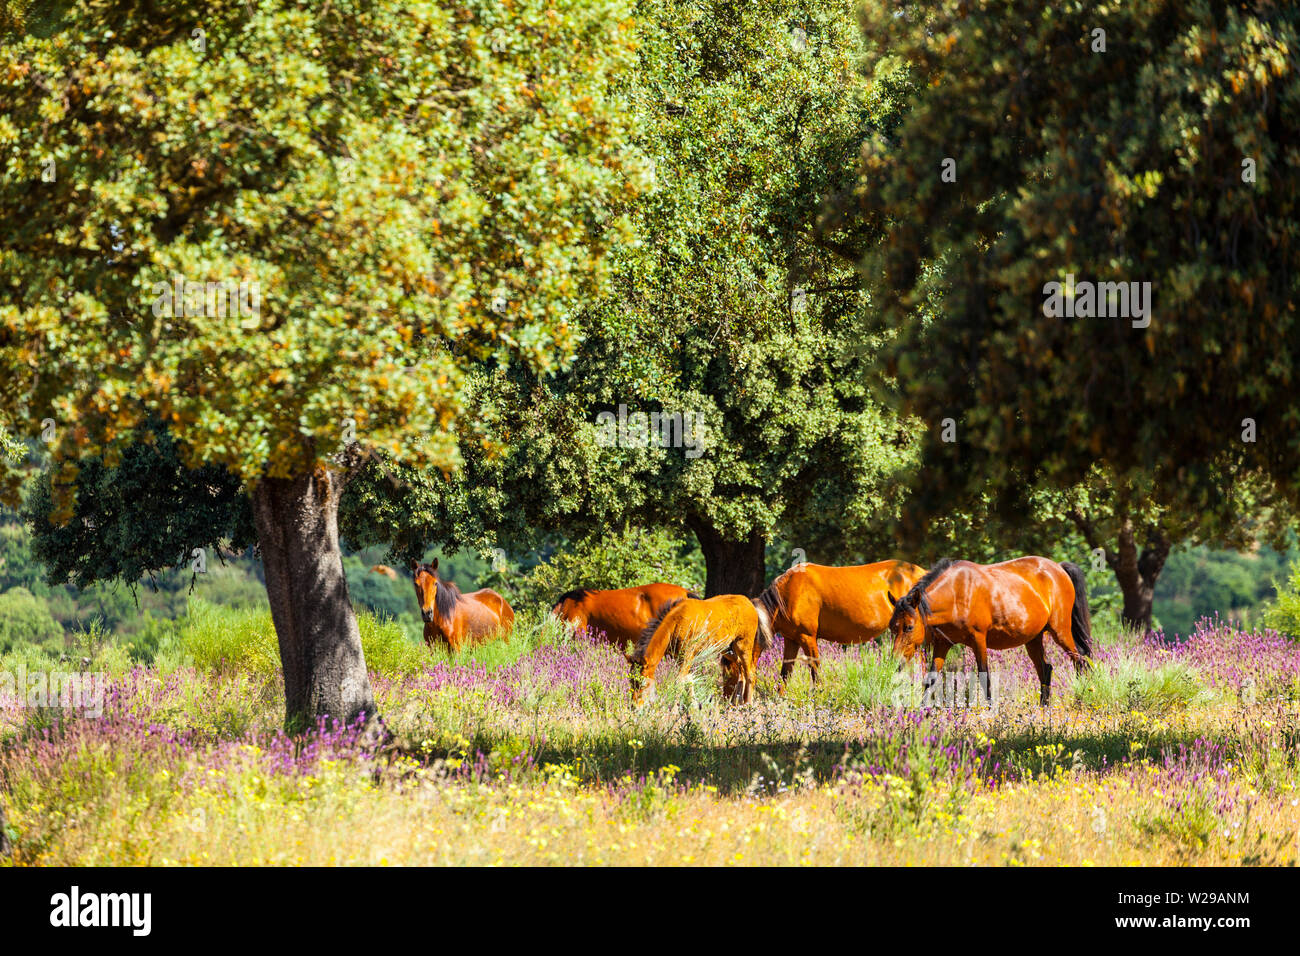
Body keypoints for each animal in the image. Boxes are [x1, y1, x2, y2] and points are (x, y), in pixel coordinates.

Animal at [626, 595, 774, 705]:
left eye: (642, 684)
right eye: (631, 682)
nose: (634, 707)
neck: (677, 622)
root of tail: (750, 603)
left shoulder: (688, 656)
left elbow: (680, 682)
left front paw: (674, 709)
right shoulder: (681, 658)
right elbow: (689, 680)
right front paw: (693, 706)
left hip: (743, 645)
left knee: (750, 673)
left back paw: (747, 704)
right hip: (728, 650)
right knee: (743, 671)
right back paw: (737, 702)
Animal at [886, 557, 1092, 705]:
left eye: (909, 627)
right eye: (892, 628)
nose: (895, 662)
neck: (957, 591)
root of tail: (1059, 568)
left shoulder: (978, 640)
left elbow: (984, 677)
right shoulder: (943, 643)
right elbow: (930, 678)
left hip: (1060, 632)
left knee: (1080, 660)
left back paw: (1081, 698)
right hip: (1033, 638)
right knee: (1045, 668)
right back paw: (1044, 706)